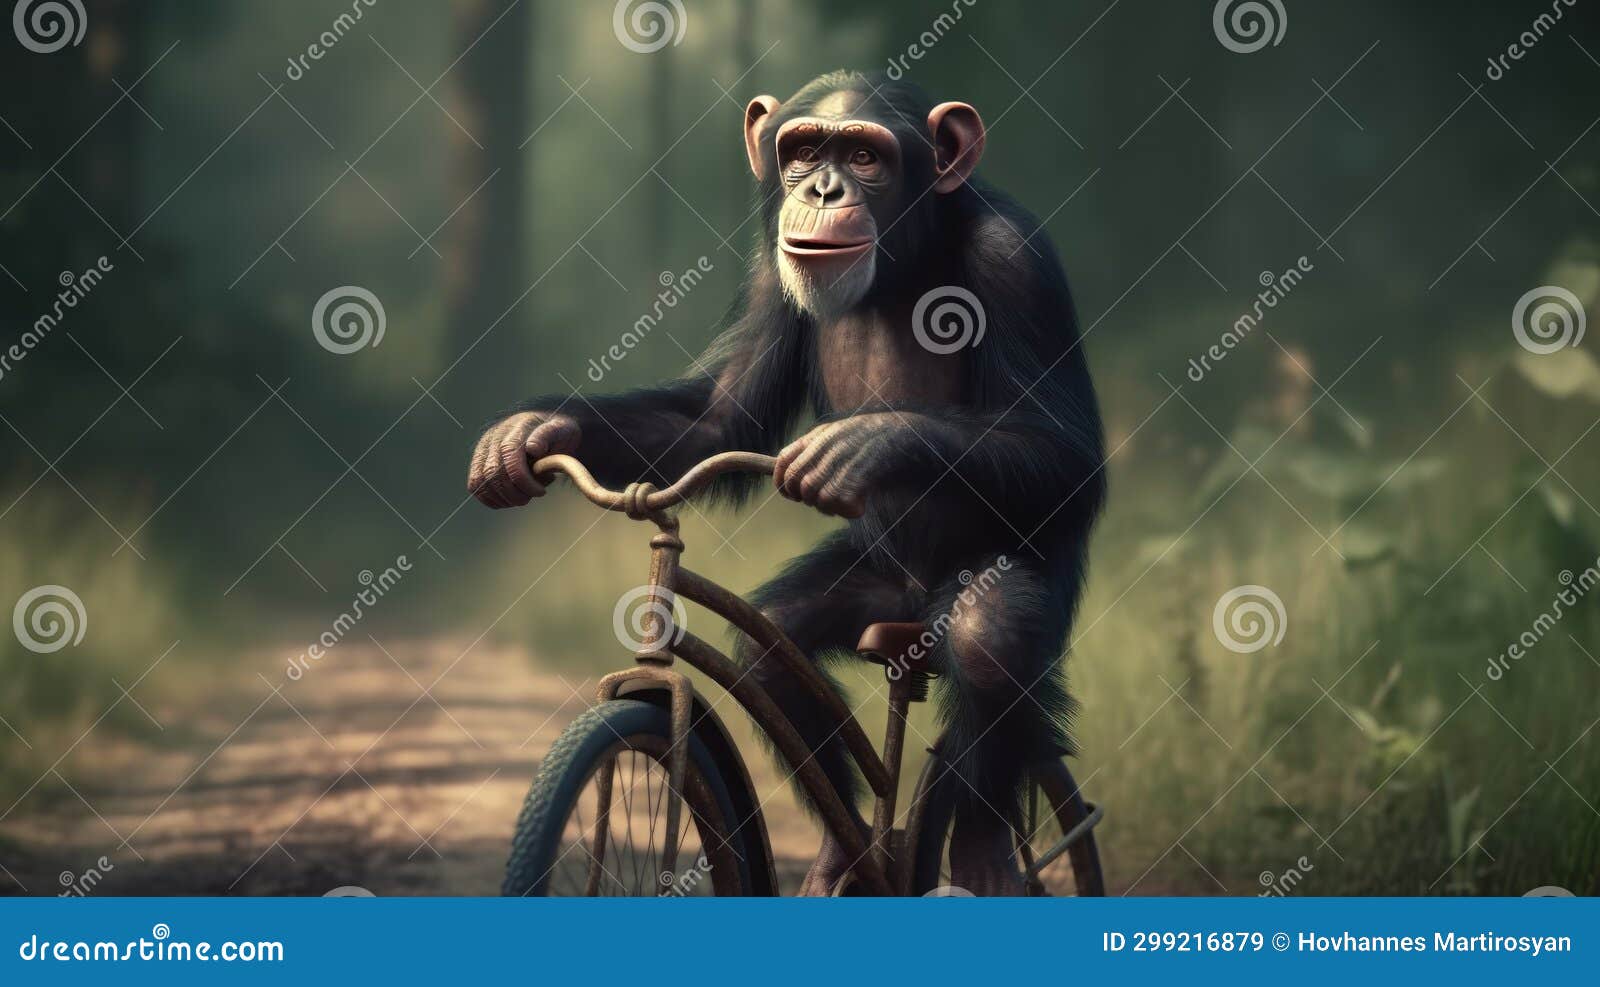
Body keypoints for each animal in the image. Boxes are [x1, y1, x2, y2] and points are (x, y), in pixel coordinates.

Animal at [468, 70, 1106, 895]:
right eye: (804, 150)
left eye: (864, 156)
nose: (824, 187)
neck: (902, 263)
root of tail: (910, 611)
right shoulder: (770, 277)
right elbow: (719, 418)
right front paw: (530, 435)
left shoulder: (1017, 259)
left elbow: (1067, 450)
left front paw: (865, 444)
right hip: (872, 587)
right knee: (774, 648)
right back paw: (842, 857)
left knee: (988, 644)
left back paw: (984, 858)